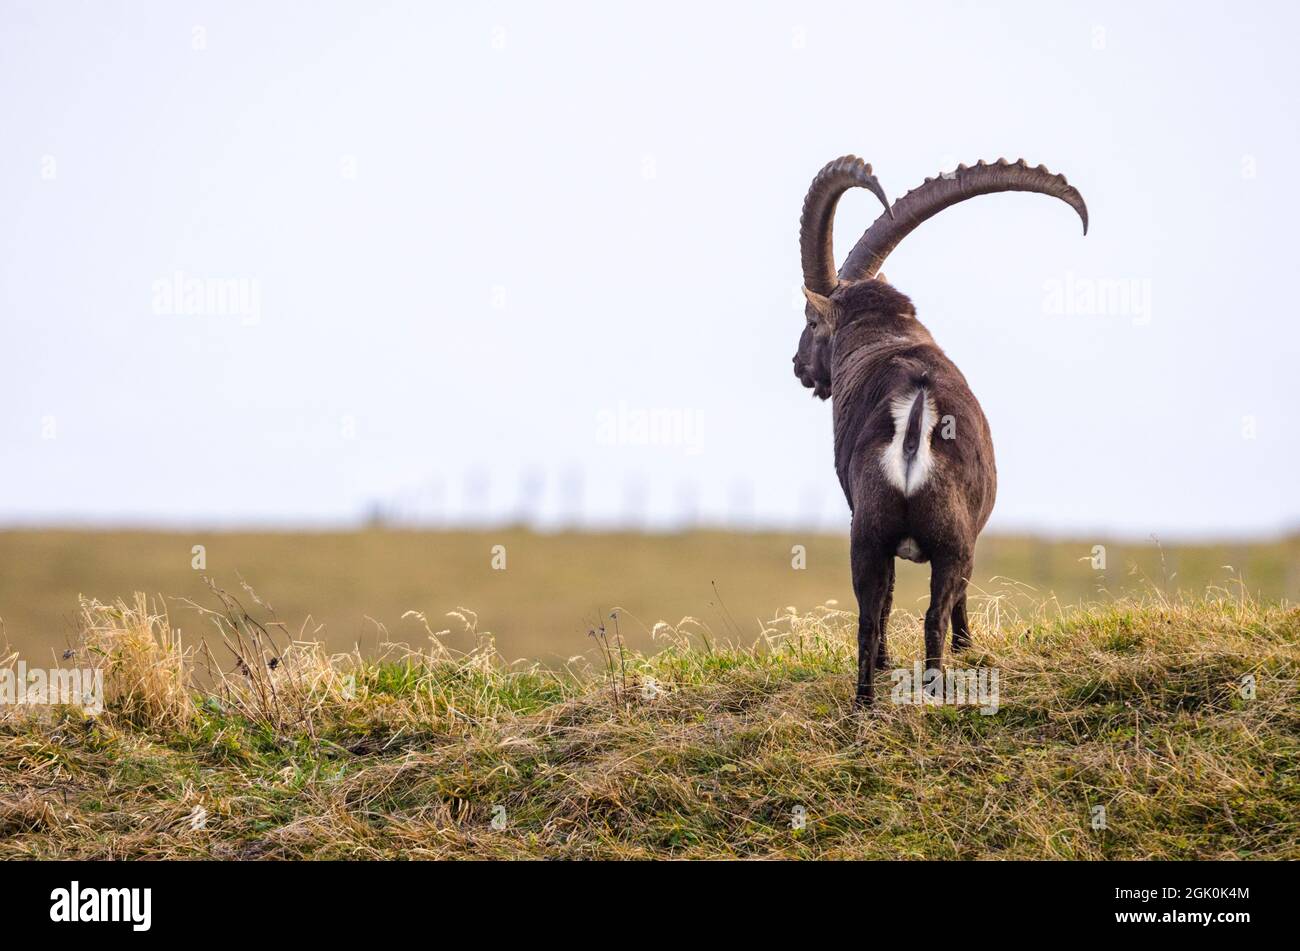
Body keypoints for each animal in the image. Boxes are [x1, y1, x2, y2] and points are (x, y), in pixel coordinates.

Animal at [791, 156, 1088, 705]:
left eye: (810, 319)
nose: (799, 367)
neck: (887, 335)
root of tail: (916, 418)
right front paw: (969, 651)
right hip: (946, 540)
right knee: (930, 613)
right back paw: (931, 693)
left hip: (870, 536)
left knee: (873, 617)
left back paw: (866, 702)